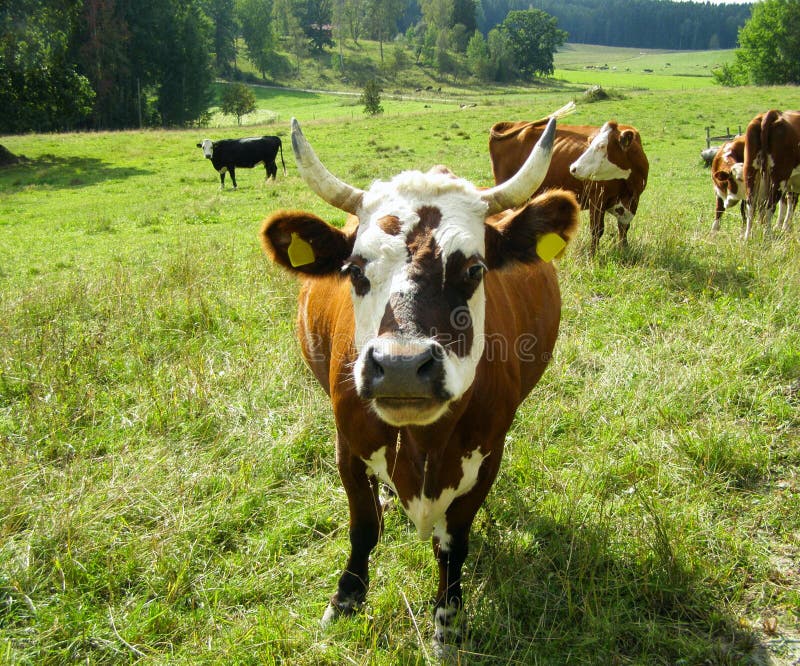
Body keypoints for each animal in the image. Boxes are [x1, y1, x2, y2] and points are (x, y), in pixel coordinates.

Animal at [259, 112, 579, 652]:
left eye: (474, 268)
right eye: (354, 270)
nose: (402, 367)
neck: (423, 443)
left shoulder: (486, 457)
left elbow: (454, 544)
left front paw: (447, 622)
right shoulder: (348, 445)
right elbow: (364, 526)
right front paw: (345, 600)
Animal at [489, 116, 649, 255]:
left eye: (602, 146)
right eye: (590, 142)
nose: (574, 167)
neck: (627, 185)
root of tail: (512, 124)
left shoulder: (633, 200)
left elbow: (624, 227)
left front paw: (624, 250)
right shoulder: (597, 198)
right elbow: (597, 230)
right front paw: (593, 256)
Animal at [743, 109, 800, 238]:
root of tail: (773, 114)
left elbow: (787, 203)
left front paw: (782, 228)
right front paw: (784, 228)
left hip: (751, 170)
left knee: (751, 204)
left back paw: (748, 237)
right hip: (779, 177)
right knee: (770, 205)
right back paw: (767, 235)